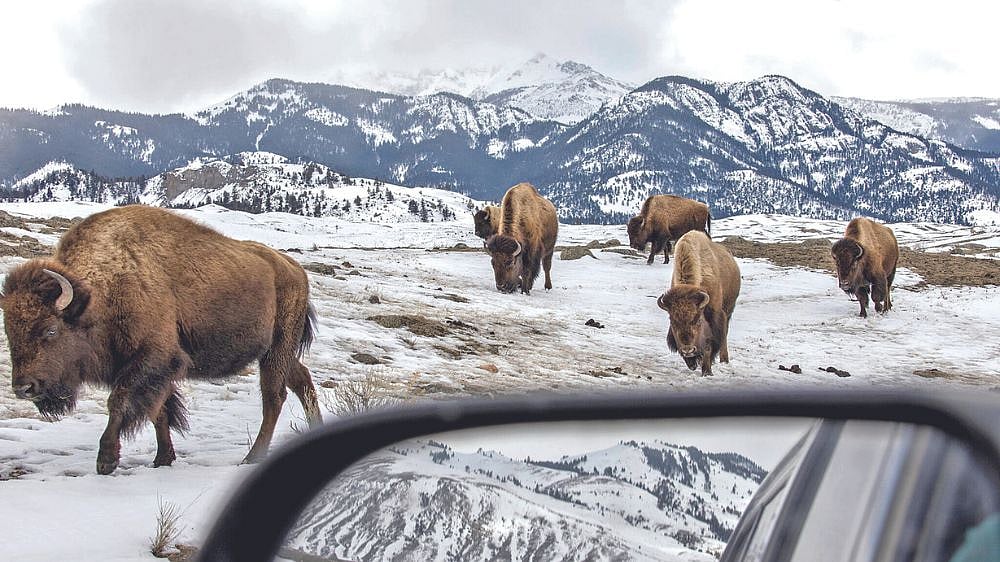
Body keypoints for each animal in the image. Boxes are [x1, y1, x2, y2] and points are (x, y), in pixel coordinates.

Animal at [1, 206, 322, 474]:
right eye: (9, 330)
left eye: (50, 330)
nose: (24, 388)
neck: (102, 291)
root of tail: (294, 269)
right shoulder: (154, 369)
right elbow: (159, 411)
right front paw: (163, 459)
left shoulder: (153, 358)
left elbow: (121, 402)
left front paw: (106, 460)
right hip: (276, 353)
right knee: (301, 380)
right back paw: (315, 428)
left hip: (276, 349)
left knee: (274, 397)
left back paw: (252, 457)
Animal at [657, 231, 741, 376]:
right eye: (672, 322)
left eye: (698, 321)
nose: (688, 350)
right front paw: (693, 364)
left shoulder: (714, 315)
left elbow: (709, 345)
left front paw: (707, 371)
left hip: (728, 310)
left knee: (724, 336)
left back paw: (724, 360)